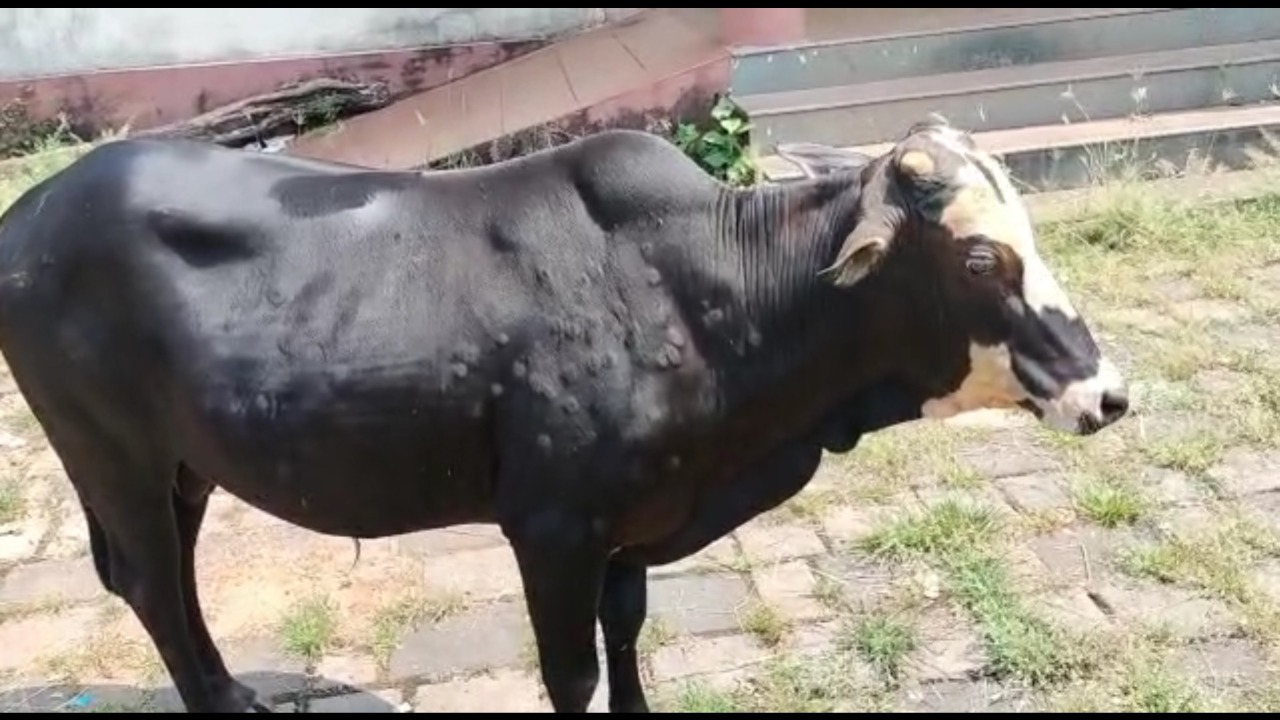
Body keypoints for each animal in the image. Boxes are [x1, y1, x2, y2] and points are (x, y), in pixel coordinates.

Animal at [0, 113, 1128, 713]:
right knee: (150, 580)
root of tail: (39, 206)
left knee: (170, 578)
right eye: (979, 257)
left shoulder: (632, 525)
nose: (1108, 391)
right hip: (110, 452)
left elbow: (625, 634)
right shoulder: (551, 528)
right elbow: (570, 670)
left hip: (182, 462)